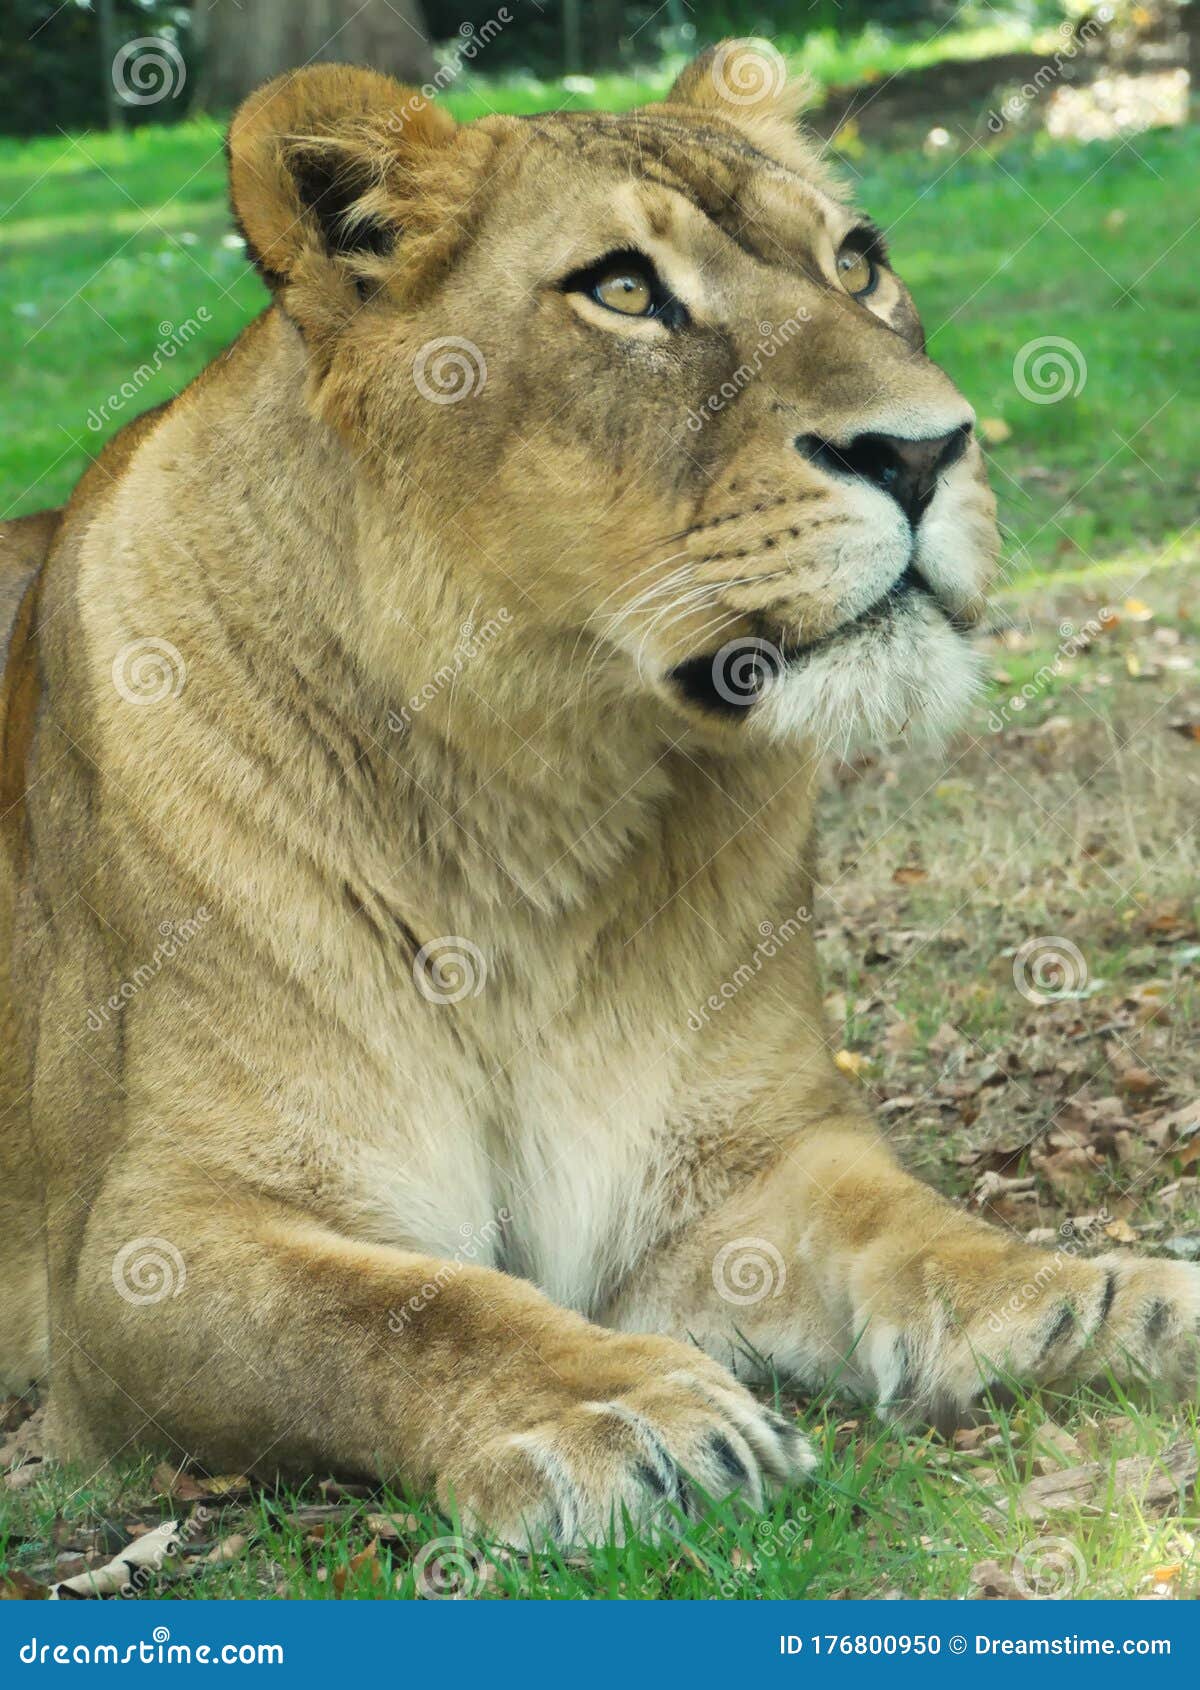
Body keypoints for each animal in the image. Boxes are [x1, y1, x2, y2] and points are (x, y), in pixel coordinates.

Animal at [1, 47, 1197, 1548]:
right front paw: (621, 1415)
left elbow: (912, 1232)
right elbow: (400, 1307)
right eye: (624, 290)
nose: (928, 451)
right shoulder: (141, 1248)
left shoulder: (738, 1167)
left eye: (858, 263)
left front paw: (1094, 1300)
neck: (533, 801)